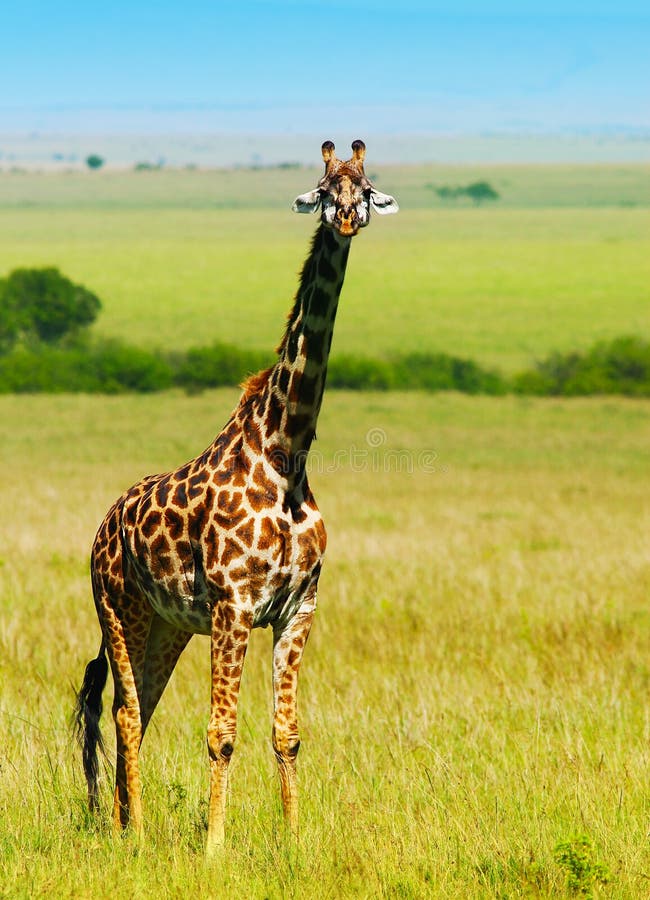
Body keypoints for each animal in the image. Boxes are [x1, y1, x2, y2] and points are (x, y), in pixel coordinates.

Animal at [74, 139, 398, 855]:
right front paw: (215, 849)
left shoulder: (298, 605)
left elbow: (288, 733)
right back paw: (135, 833)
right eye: (323, 189)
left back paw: (124, 822)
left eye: (365, 190)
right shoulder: (233, 605)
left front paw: (294, 838)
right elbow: (221, 734)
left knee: (136, 707)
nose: (346, 220)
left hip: (166, 625)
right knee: (126, 709)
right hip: (116, 607)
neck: (285, 453)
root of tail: (102, 527)